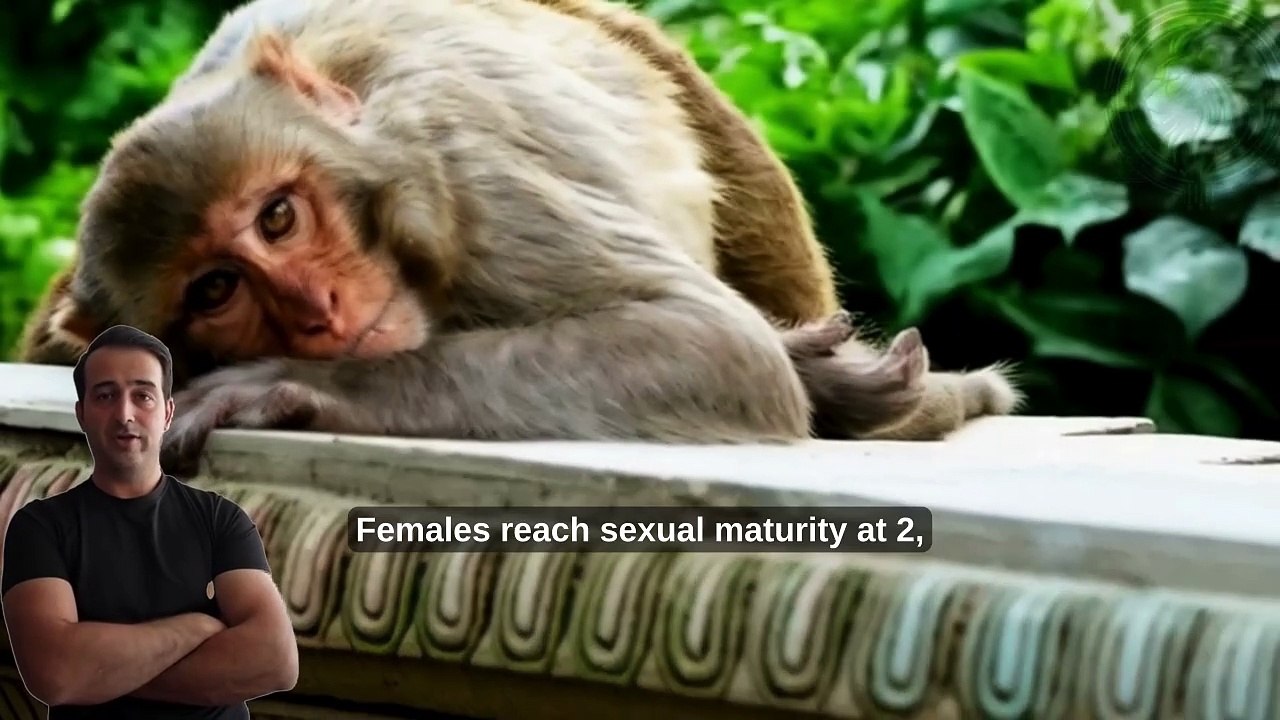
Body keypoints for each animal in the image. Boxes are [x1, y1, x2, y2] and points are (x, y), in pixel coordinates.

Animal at [14, 0, 1020, 471]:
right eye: (216, 288)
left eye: (278, 216)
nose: (317, 308)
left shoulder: (462, 162)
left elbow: (710, 344)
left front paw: (293, 388)